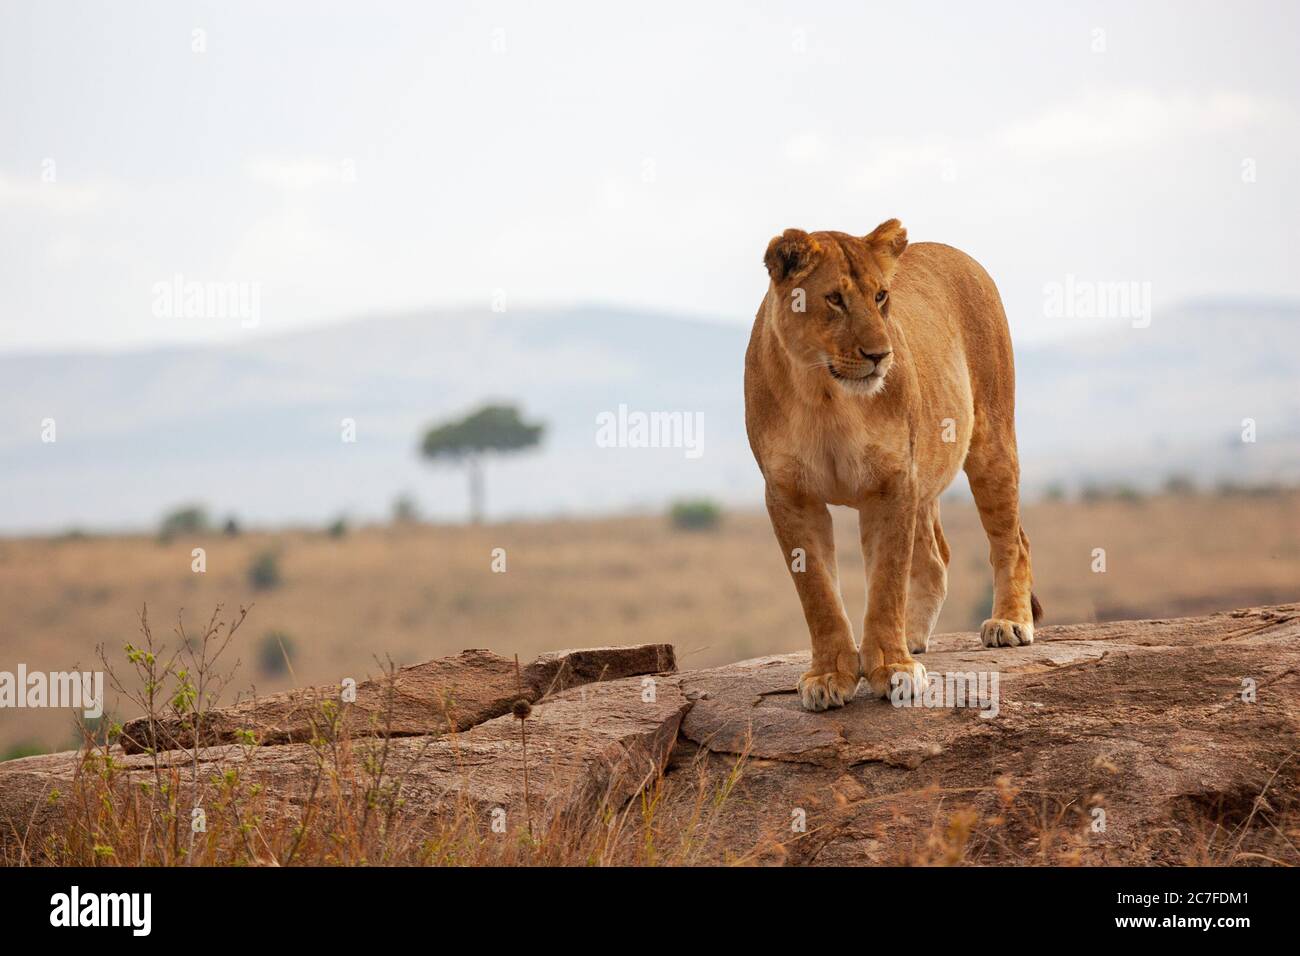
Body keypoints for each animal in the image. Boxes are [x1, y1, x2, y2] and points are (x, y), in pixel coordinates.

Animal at [744, 219, 1042, 711]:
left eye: (881, 296)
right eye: (835, 299)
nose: (881, 355)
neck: (825, 397)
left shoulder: (892, 481)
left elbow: (887, 581)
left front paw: (890, 667)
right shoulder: (789, 494)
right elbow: (818, 594)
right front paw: (830, 675)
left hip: (991, 442)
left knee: (1013, 539)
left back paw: (1008, 622)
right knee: (936, 558)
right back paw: (915, 636)